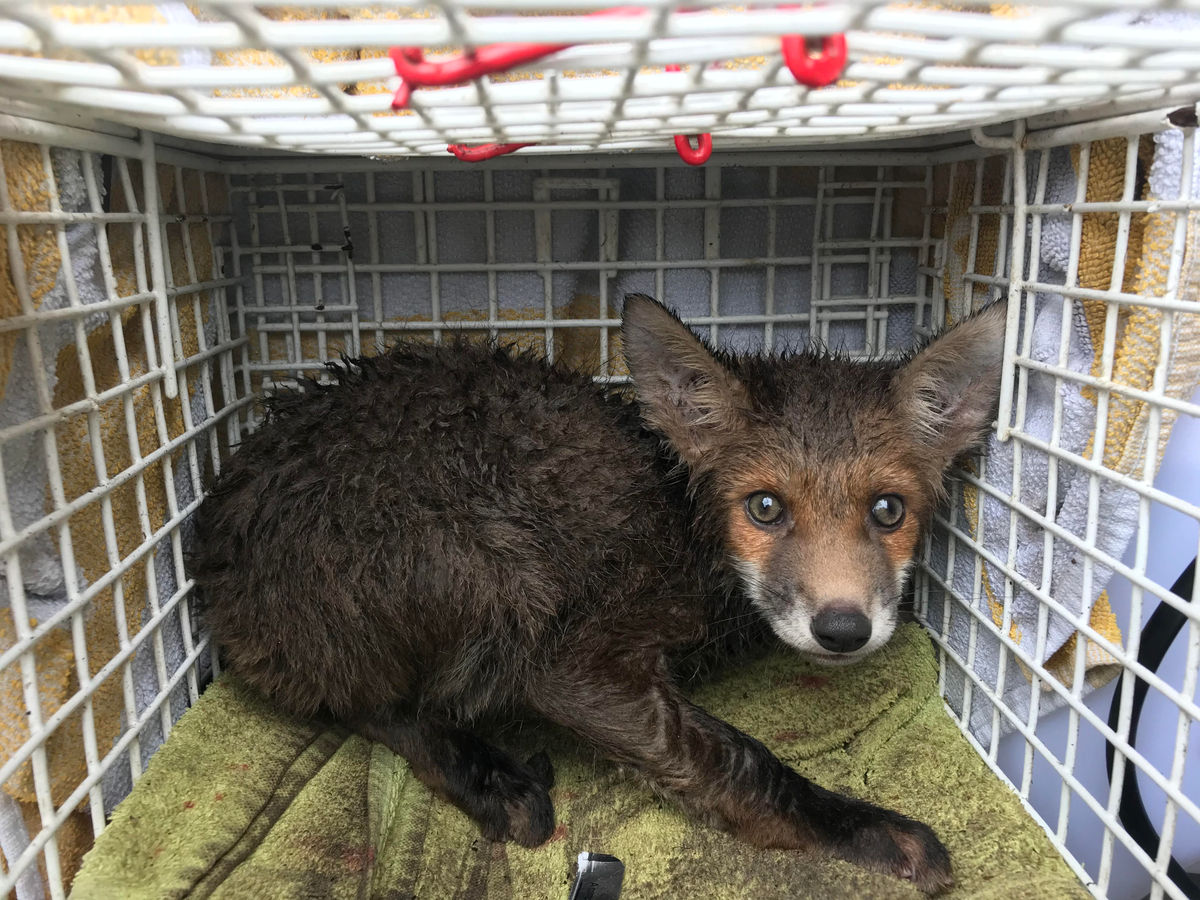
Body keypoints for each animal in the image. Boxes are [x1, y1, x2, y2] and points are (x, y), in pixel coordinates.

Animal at [192, 293, 1008, 894]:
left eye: (888, 511)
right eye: (766, 507)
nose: (842, 628)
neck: (679, 516)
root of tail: (215, 550)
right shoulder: (577, 662)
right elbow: (745, 765)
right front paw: (864, 830)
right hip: (493, 574)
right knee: (366, 703)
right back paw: (488, 778)